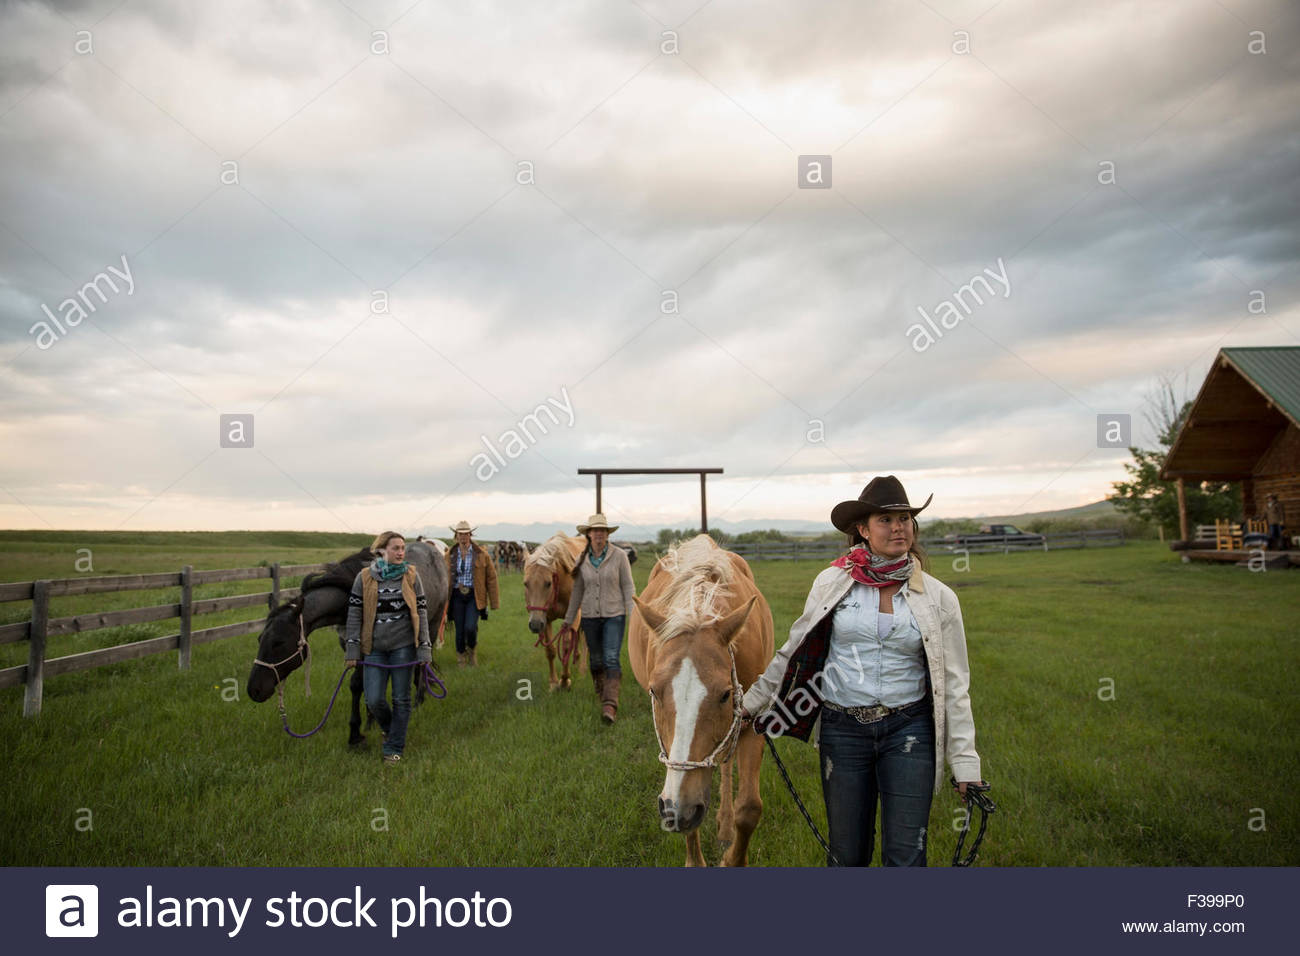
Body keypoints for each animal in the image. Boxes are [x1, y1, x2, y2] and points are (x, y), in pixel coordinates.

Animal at [247, 539, 449, 745]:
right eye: (260, 639)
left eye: (278, 643)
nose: (254, 690)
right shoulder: (354, 648)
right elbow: (369, 683)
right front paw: (371, 721)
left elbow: (357, 684)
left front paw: (355, 731)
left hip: (431, 627)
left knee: (422, 665)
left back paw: (418, 701)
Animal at [523, 532, 587, 691]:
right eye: (526, 583)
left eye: (548, 583)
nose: (534, 625)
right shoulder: (545, 620)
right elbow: (550, 651)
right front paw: (553, 682)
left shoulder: (574, 616)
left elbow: (565, 647)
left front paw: (564, 681)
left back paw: (582, 669)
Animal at [629, 534, 774, 867]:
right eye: (655, 692)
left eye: (725, 694)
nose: (677, 810)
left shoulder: (750, 721)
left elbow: (749, 807)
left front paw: (733, 857)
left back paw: (725, 824)